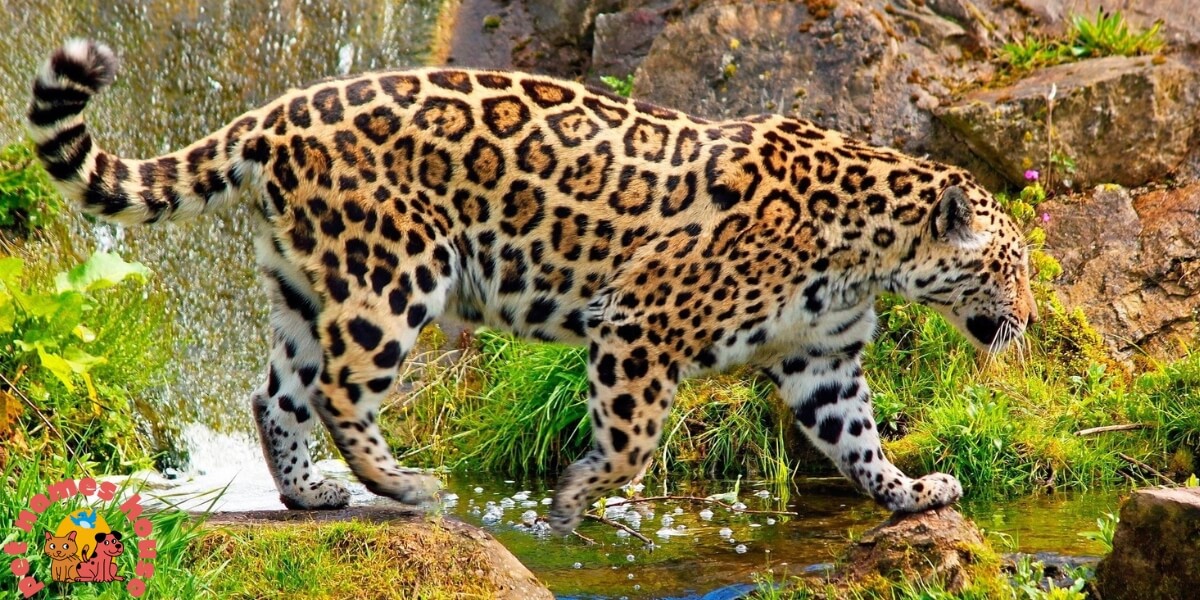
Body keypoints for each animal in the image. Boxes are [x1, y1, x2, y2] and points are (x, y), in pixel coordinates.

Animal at [28, 40, 1037, 534]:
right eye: (1013, 267)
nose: (1026, 322)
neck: (872, 248)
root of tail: (273, 114)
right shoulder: (639, 323)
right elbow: (633, 443)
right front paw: (575, 499)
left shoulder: (821, 362)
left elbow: (858, 442)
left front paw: (914, 494)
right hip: (394, 271)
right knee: (341, 389)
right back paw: (406, 487)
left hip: (307, 287)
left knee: (275, 392)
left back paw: (311, 495)